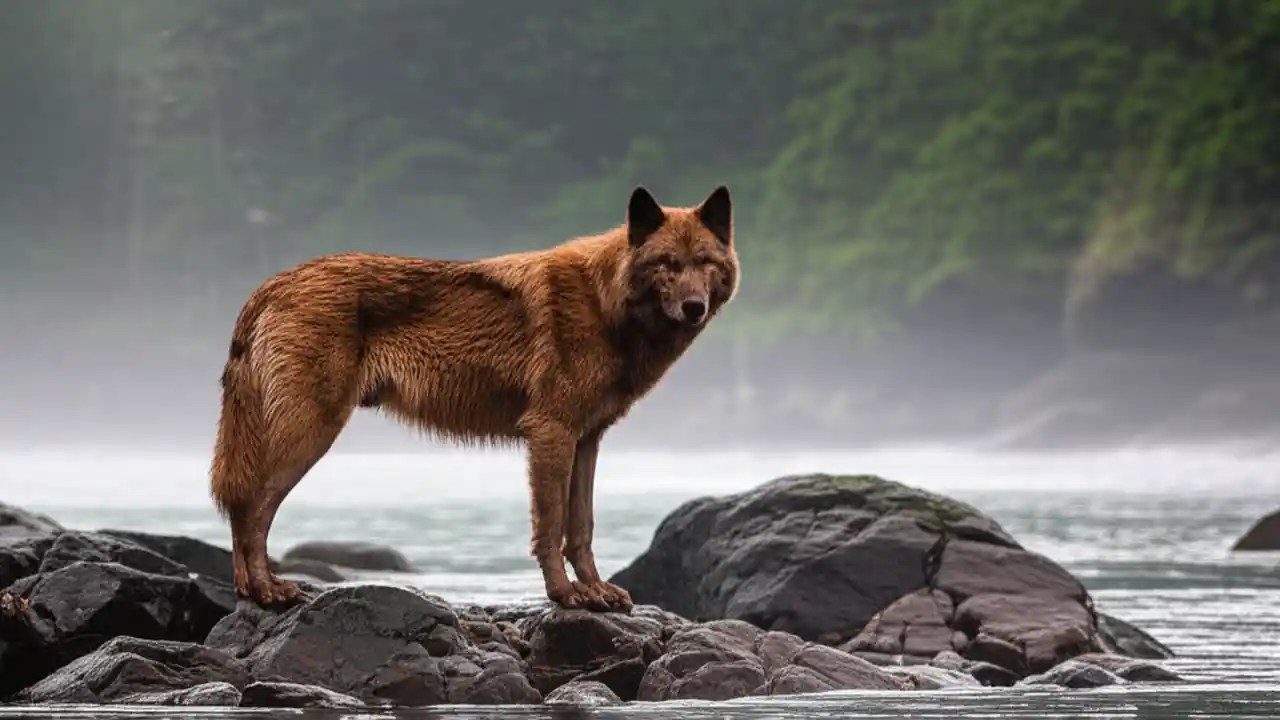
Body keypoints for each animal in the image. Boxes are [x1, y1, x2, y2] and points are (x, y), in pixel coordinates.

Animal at [210, 185, 738, 611]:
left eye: (705, 263)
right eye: (667, 264)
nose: (694, 307)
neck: (605, 303)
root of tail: (269, 286)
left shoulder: (586, 440)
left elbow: (581, 529)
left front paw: (594, 591)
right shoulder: (551, 435)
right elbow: (551, 527)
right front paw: (564, 595)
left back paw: (248, 591)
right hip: (311, 433)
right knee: (251, 507)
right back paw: (267, 590)